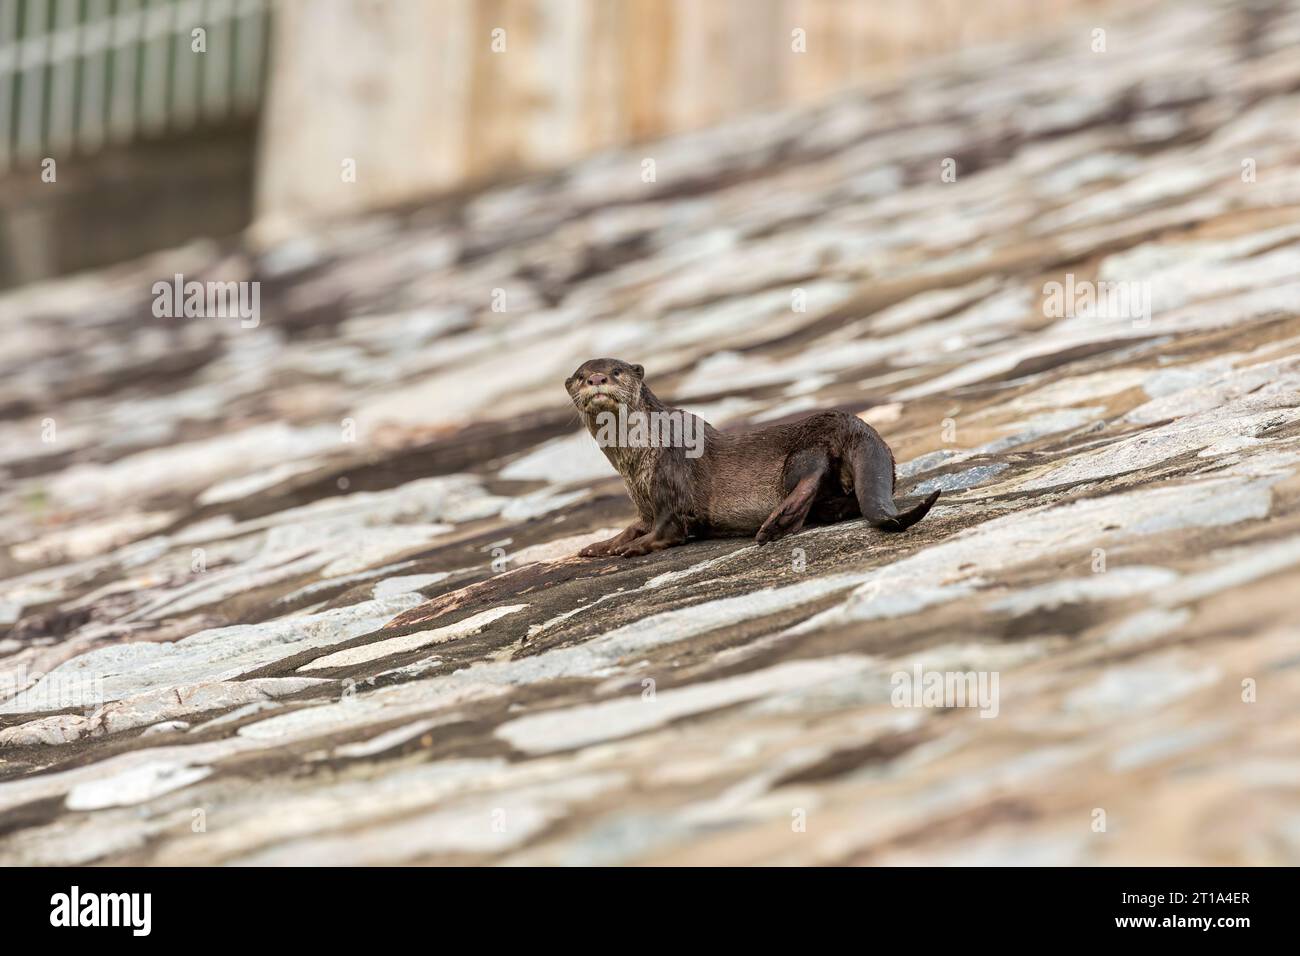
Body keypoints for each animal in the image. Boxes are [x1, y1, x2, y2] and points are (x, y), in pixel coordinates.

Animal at [565, 358, 940, 558]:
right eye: (582, 376)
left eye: (616, 372)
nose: (596, 379)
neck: (640, 457)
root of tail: (853, 423)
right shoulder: (643, 500)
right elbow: (634, 525)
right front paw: (601, 545)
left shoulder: (671, 480)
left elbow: (666, 529)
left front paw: (633, 547)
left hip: (805, 449)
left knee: (811, 475)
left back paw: (775, 524)